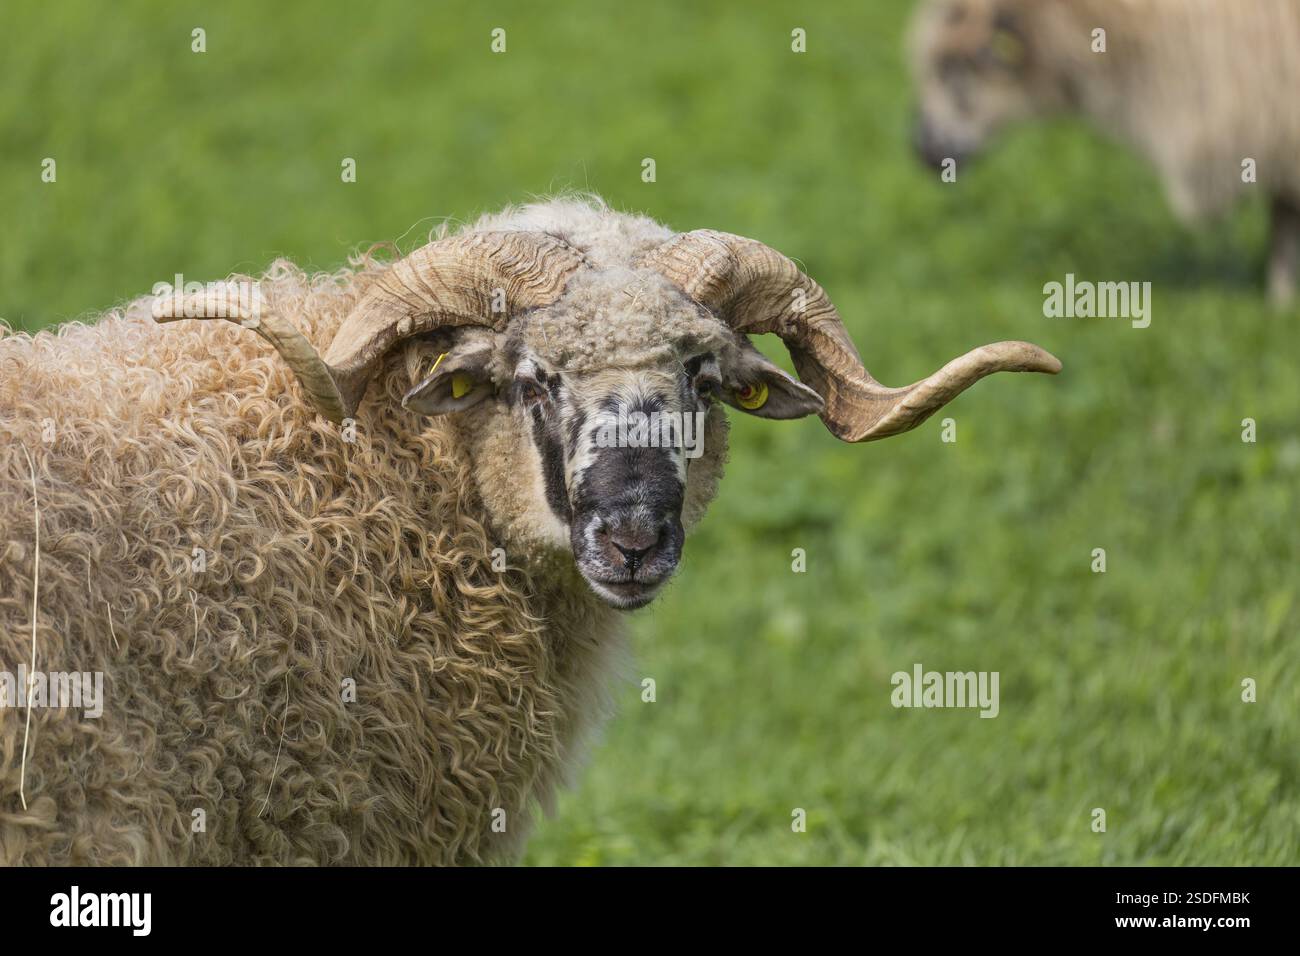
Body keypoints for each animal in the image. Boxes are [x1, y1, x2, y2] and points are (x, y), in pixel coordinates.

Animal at [909, 0, 1300, 305]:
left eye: (949, 65)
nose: (919, 148)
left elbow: (1283, 222)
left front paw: (1280, 305)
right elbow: (1283, 222)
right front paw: (1281, 305)